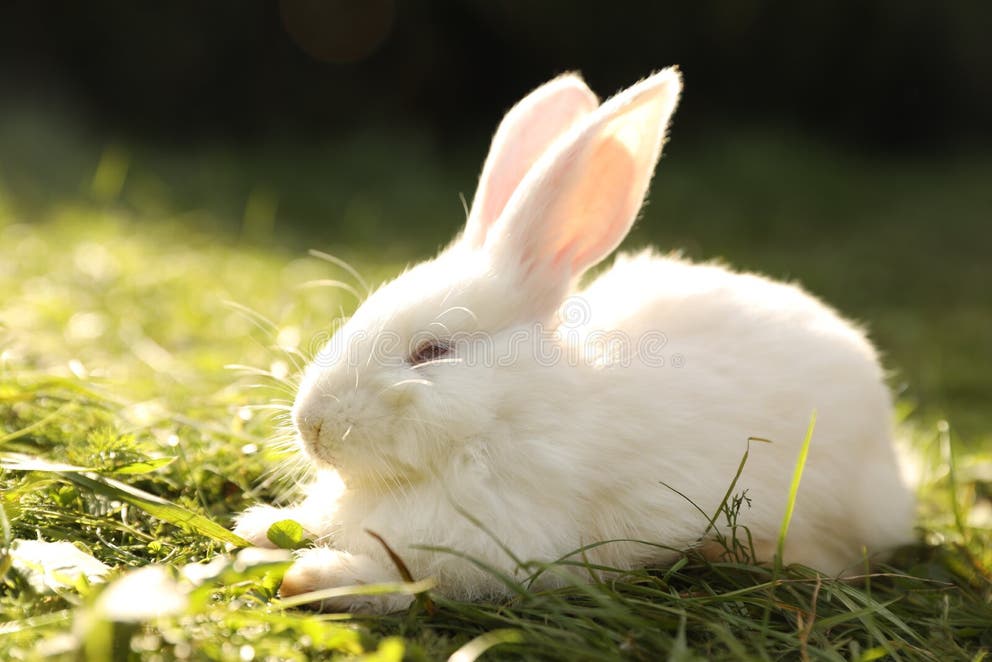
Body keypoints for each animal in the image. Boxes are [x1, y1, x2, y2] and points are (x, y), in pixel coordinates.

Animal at [233, 68, 916, 613]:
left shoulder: (501, 548)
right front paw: (261, 530)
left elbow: (408, 580)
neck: (510, 415)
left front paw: (312, 578)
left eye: (431, 352)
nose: (311, 426)